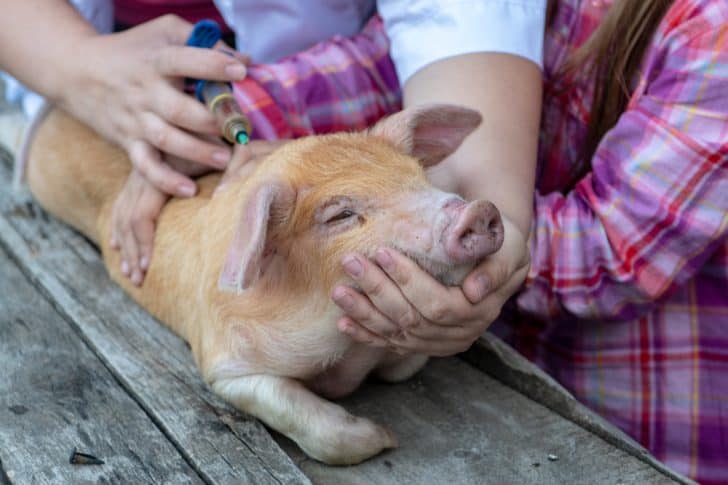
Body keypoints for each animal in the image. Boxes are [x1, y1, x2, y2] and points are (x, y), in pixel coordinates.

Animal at [26, 104, 504, 465]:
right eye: (340, 215)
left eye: (419, 176)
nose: (478, 211)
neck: (347, 353)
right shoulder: (222, 361)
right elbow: (296, 409)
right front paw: (385, 437)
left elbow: (408, 365)